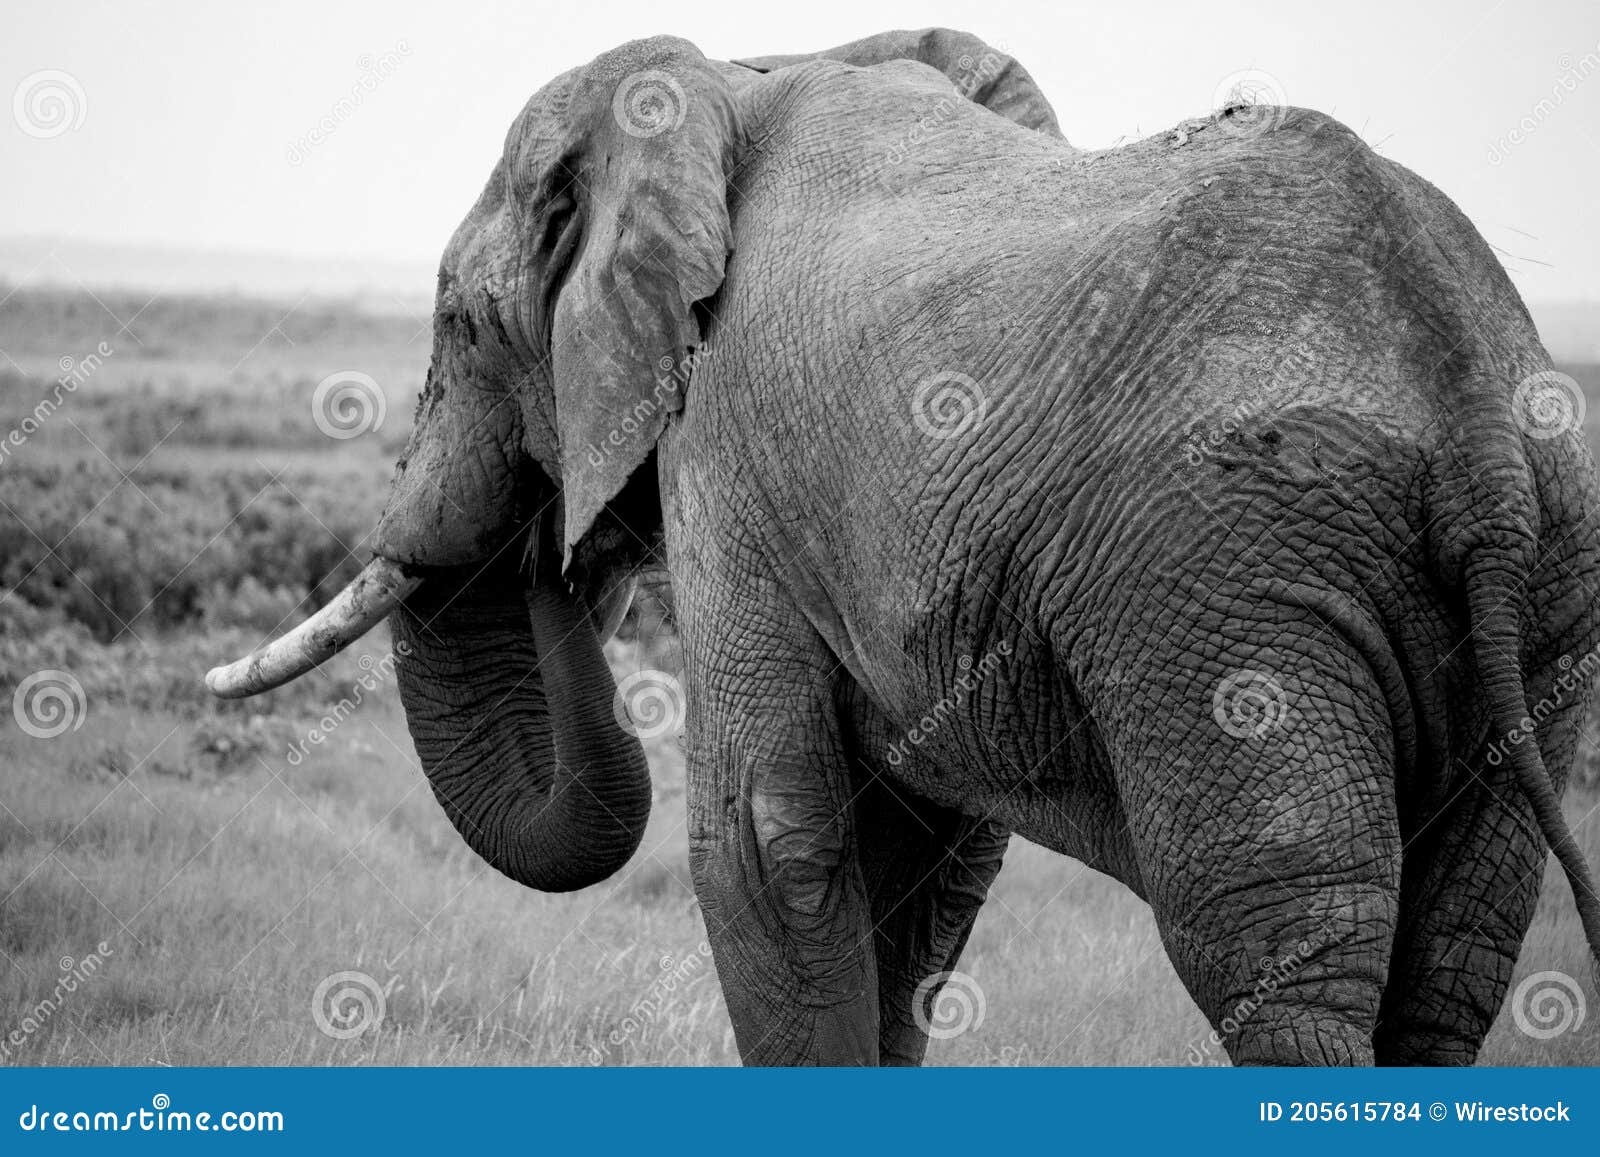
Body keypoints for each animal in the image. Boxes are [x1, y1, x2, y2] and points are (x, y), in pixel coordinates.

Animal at [208, 28, 1600, 1066]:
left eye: (458, 322)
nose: (562, 534)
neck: (727, 84)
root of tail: (1473, 413)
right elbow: (918, 858)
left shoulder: (733, 450)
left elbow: (761, 842)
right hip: (1544, 589)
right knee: (1453, 953)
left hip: (1222, 577)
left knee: (1279, 940)